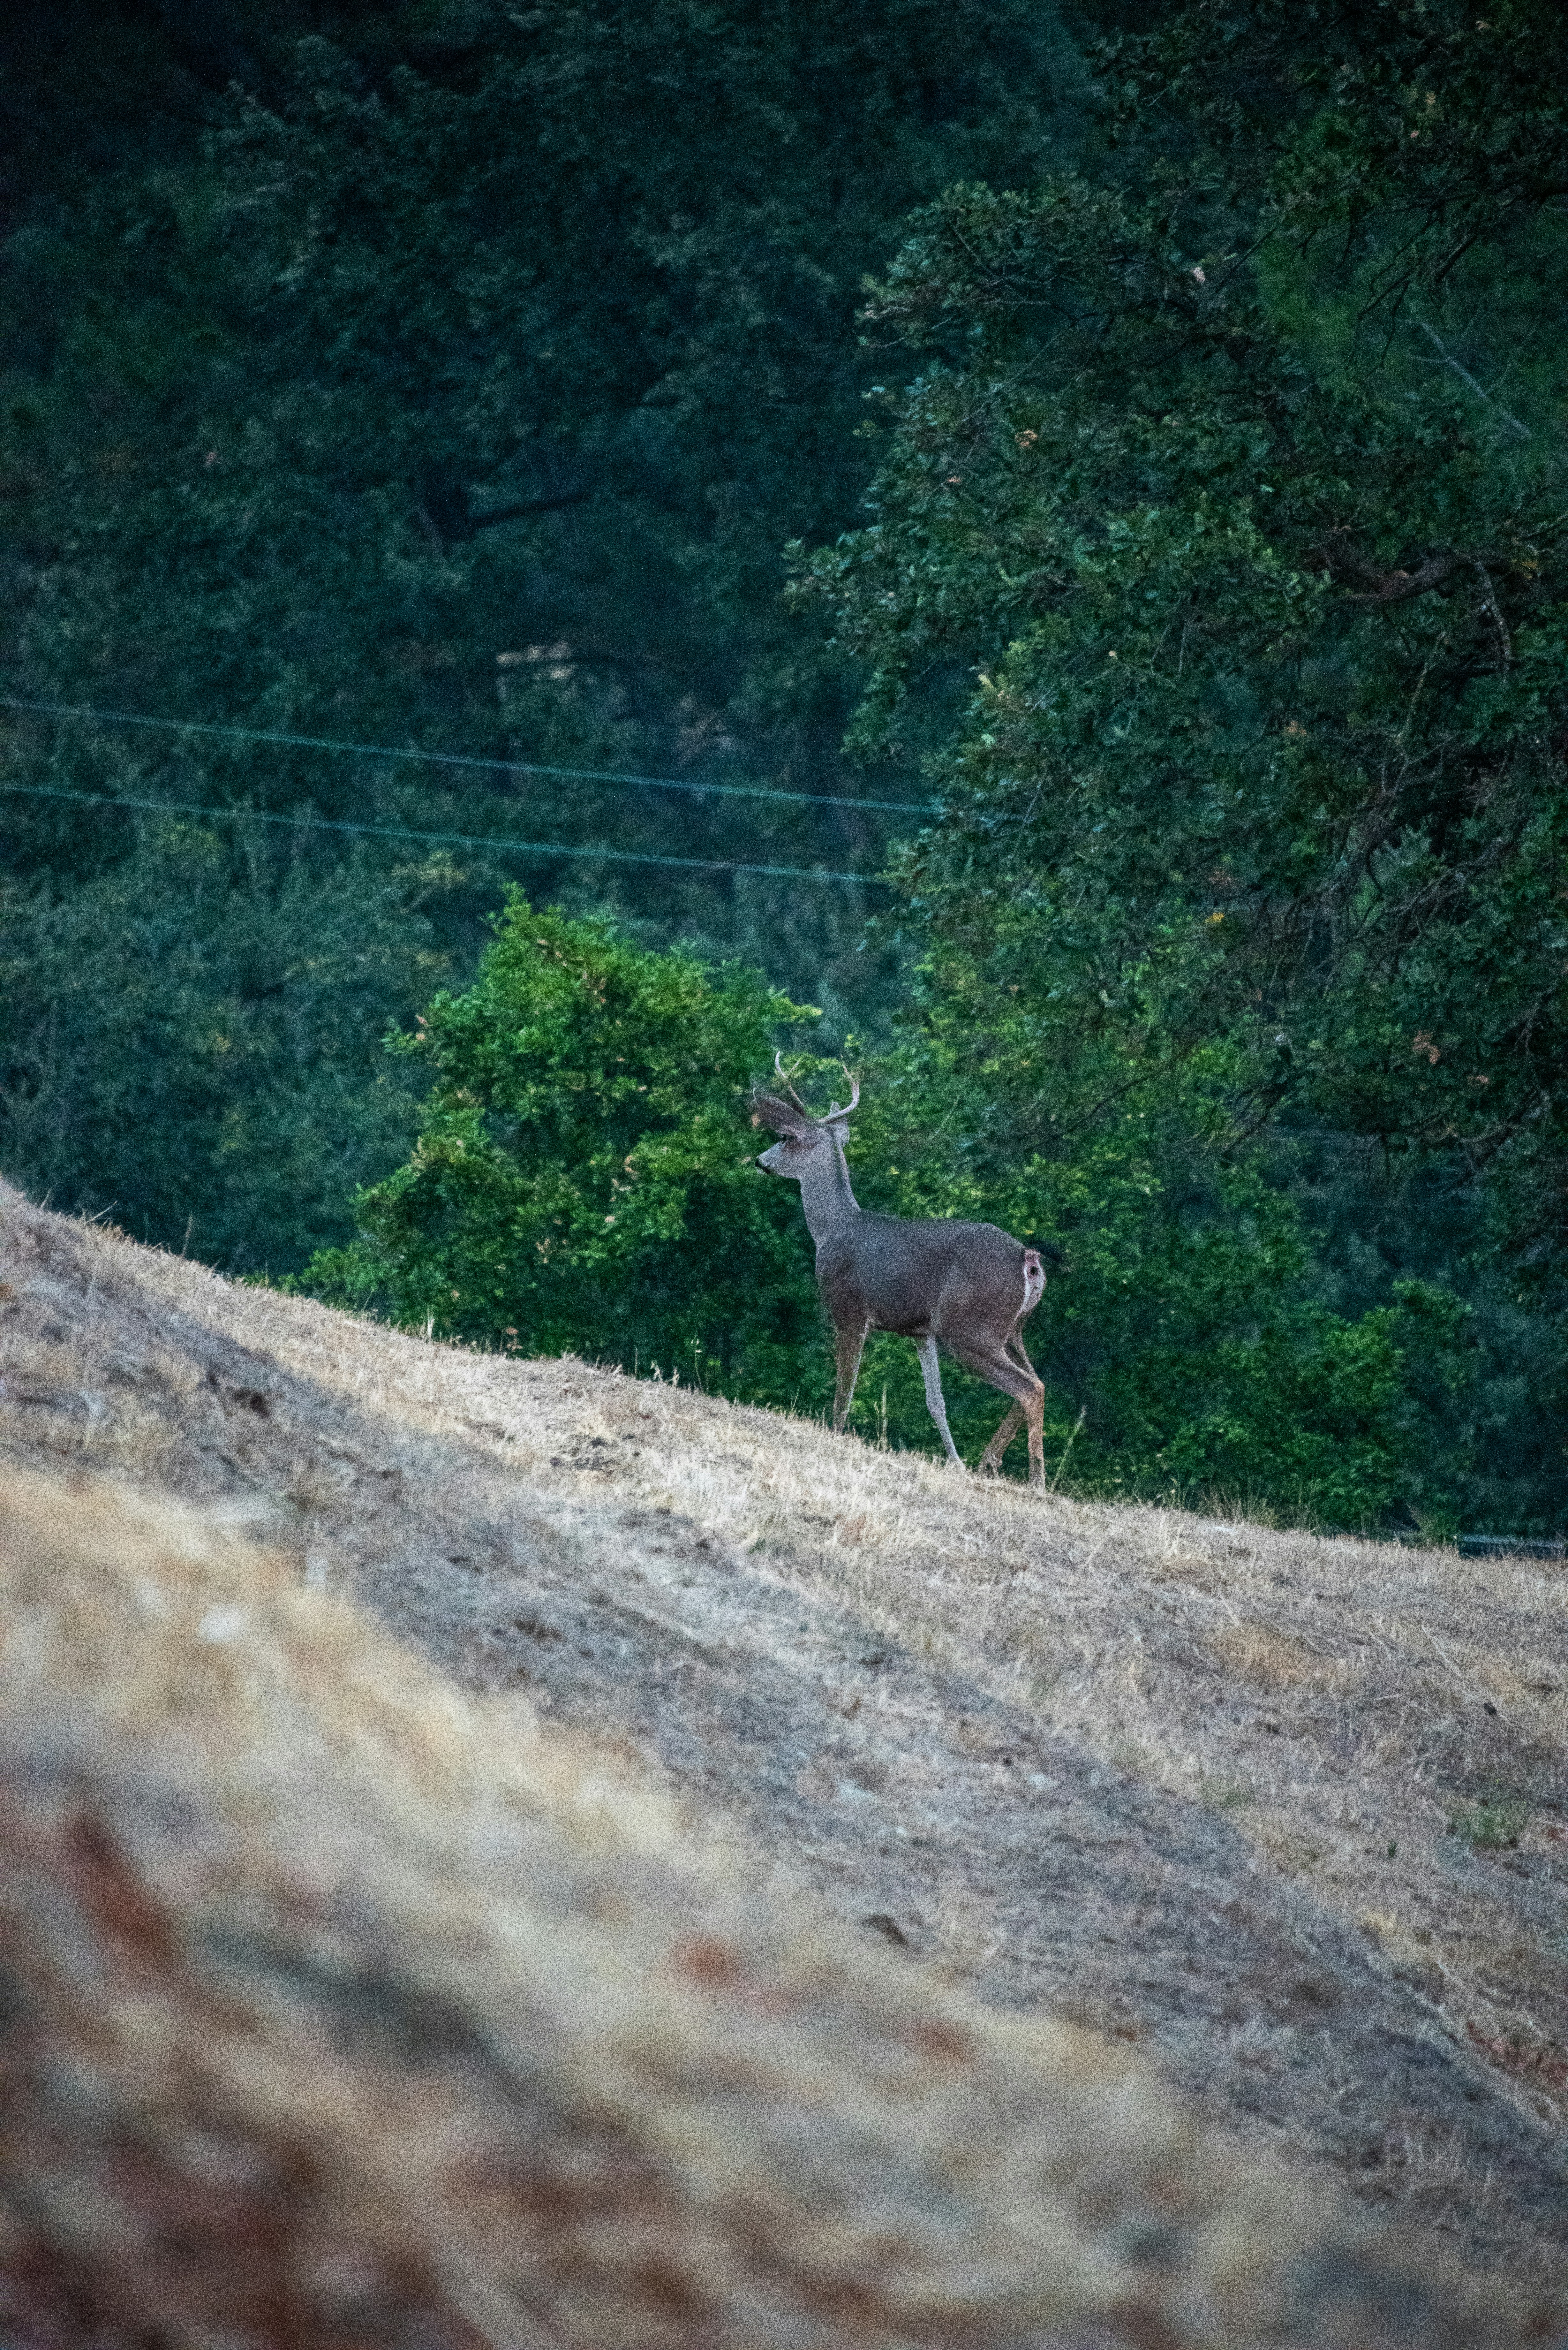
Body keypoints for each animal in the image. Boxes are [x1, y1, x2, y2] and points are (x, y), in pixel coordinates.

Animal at [752, 1059, 1063, 1485]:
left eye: (784, 1138)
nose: (759, 1161)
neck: (832, 1227)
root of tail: (1027, 1256)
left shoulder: (848, 1309)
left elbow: (845, 1388)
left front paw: (836, 1435)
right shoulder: (920, 1331)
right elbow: (935, 1401)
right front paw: (955, 1462)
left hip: (972, 1330)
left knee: (1029, 1388)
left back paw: (1034, 1479)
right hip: (1012, 1330)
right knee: (1038, 1382)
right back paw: (989, 1461)